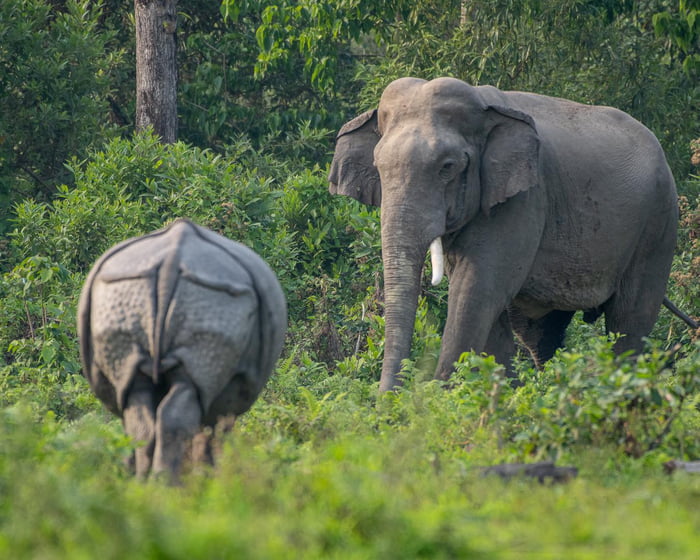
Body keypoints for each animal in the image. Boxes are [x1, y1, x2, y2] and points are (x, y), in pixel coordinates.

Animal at [78, 218, 287, 480]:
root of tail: (172, 261)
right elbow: (214, 433)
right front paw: (211, 476)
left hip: (121, 291)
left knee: (140, 400)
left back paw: (145, 482)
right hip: (215, 298)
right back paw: (168, 482)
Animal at [329, 77, 679, 392]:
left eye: (447, 167)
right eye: (378, 166)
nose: (387, 404)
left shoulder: (523, 198)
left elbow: (477, 287)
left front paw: (439, 396)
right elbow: (486, 298)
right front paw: (497, 393)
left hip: (657, 224)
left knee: (629, 319)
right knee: (540, 332)